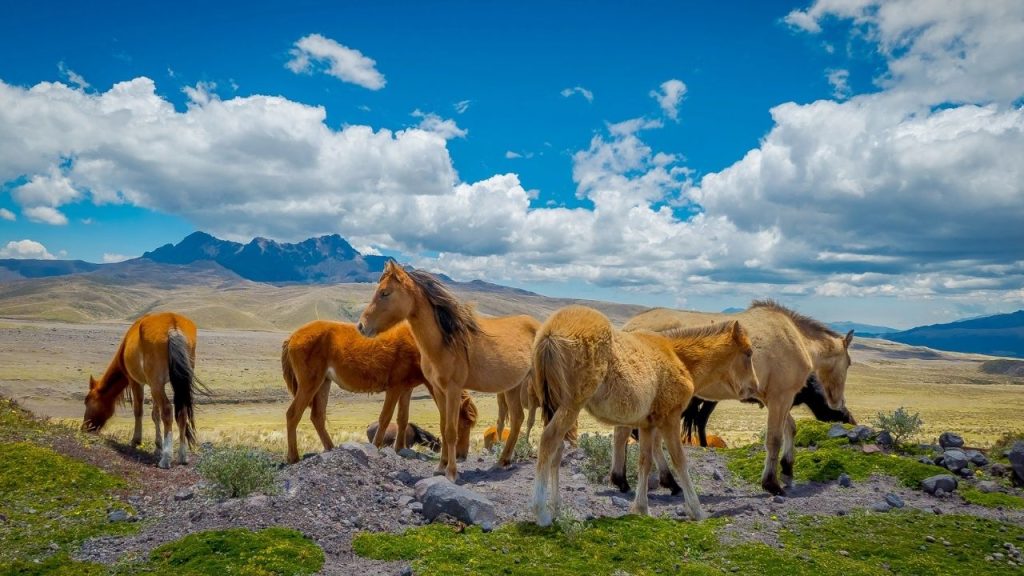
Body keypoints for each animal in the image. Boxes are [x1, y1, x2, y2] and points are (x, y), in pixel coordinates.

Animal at [82, 312, 206, 469]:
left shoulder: (136, 382)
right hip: (171, 383)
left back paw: (166, 458)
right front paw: (158, 446)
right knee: (181, 412)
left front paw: (136, 440)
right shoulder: (152, 386)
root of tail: (174, 325)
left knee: (167, 410)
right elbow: (155, 414)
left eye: (87, 400)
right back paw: (182, 456)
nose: (84, 427)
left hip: (156, 383)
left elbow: (138, 410)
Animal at [281, 319, 477, 464]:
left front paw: (399, 448)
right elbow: (385, 418)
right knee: (293, 414)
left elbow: (403, 419)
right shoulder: (394, 387)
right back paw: (293, 457)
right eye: (464, 423)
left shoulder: (406, 389)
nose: (462, 455)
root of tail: (292, 337)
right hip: (310, 383)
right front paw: (375, 446)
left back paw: (330, 448)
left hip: (323, 383)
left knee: (317, 416)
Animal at [357, 260, 538, 481]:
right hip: (513, 386)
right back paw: (503, 461)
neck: (445, 343)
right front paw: (440, 467)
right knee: (518, 418)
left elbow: (451, 431)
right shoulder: (438, 390)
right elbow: (444, 428)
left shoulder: (453, 389)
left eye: (385, 293)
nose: (361, 326)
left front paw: (452, 473)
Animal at [604, 320, 759, 494]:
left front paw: (669, 482)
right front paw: (671, 482)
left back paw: (621, 480)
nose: (755, 387)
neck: (680, 359)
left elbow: (655, 443)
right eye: (749, 353)